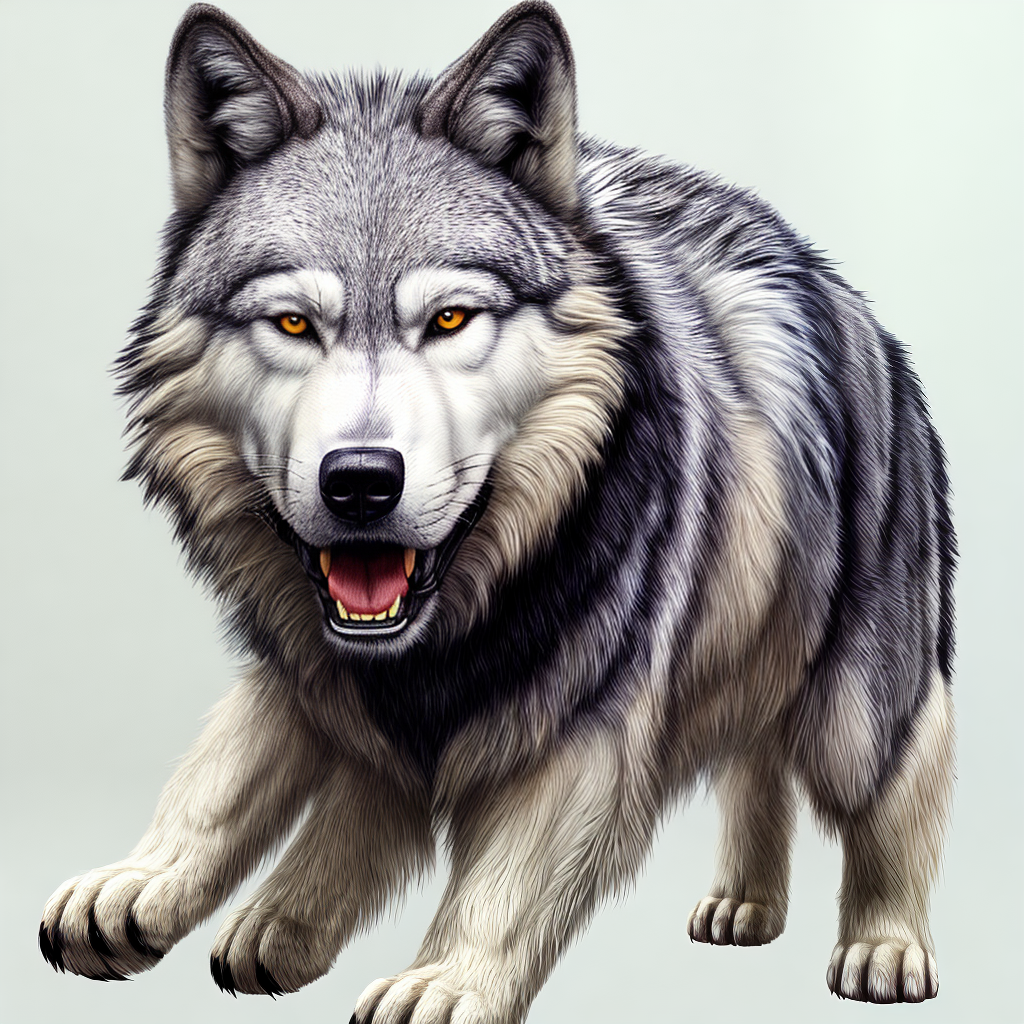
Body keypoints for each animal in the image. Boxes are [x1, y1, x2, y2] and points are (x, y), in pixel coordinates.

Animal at [39, 2, 956, 1018]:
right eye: (292, 323)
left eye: (449, 319)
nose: (361, 481)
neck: (444, 637)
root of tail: (840, 291)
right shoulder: (306, 671)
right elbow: (222, 775)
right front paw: (145, 878)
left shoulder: (588, 727)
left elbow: (504, 883)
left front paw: (443, 979)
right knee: (742, 761)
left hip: (856, 714)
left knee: (898, 784)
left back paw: (886, 944)